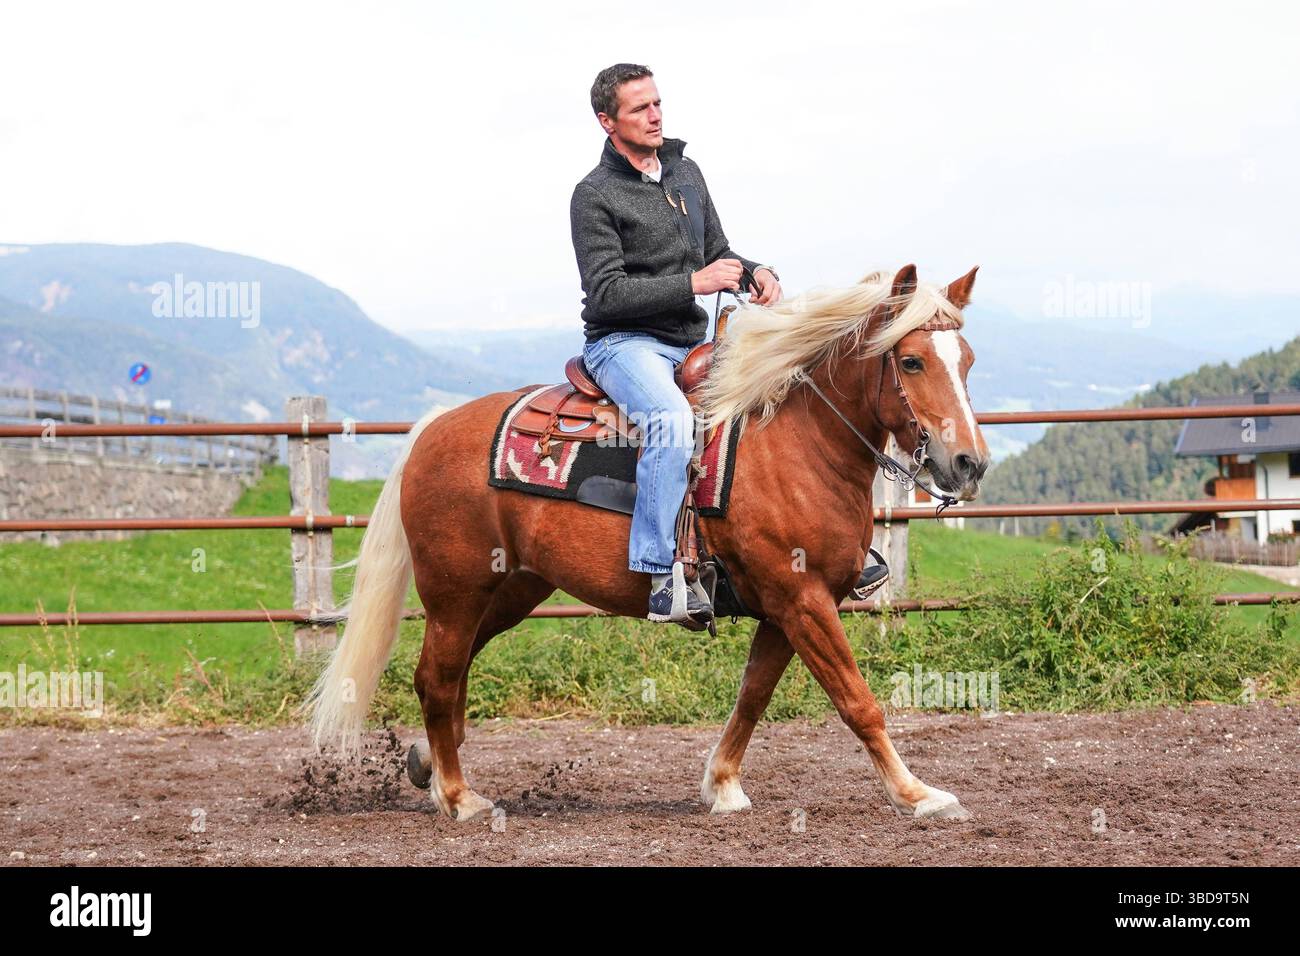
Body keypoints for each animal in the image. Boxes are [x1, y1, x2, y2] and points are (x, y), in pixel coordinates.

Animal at [307, 263, 990, 822]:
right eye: (911, 361)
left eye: (967, 360)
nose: (969, 463)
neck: (795, 442)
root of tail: (431, 428)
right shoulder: (802, 601)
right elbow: (857, 701)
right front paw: (918, 795)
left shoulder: (784, 610)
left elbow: (752, 698)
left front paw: (722, 786)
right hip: (456, 591)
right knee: (438, 677)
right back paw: (457, 796)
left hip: (511, 590)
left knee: (452, 673)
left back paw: (429, 767)